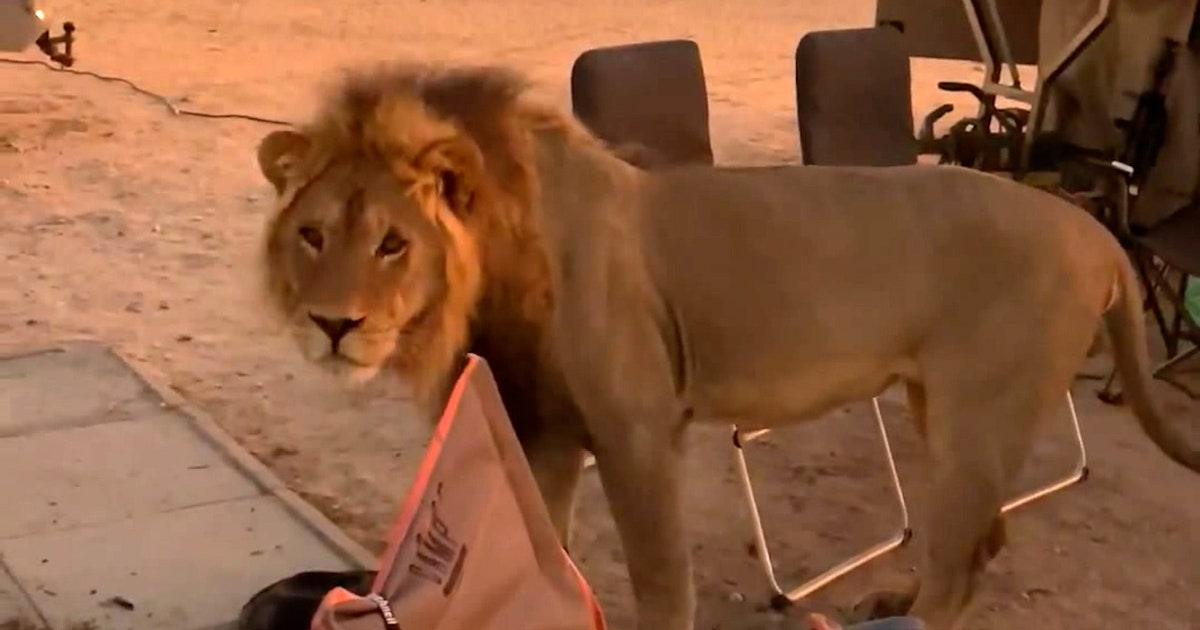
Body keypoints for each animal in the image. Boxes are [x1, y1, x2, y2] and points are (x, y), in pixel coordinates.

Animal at [253, 62, 1200, 630]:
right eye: (312, 234)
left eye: (392, 244)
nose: (333, 325)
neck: (495, 263)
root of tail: (1096, 231)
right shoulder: (538, 430)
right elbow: (545, 544)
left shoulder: (638, 434)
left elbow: (661, 579)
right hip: (945, 410)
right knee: (980, 543)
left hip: (980, 415)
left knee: (961, 564)